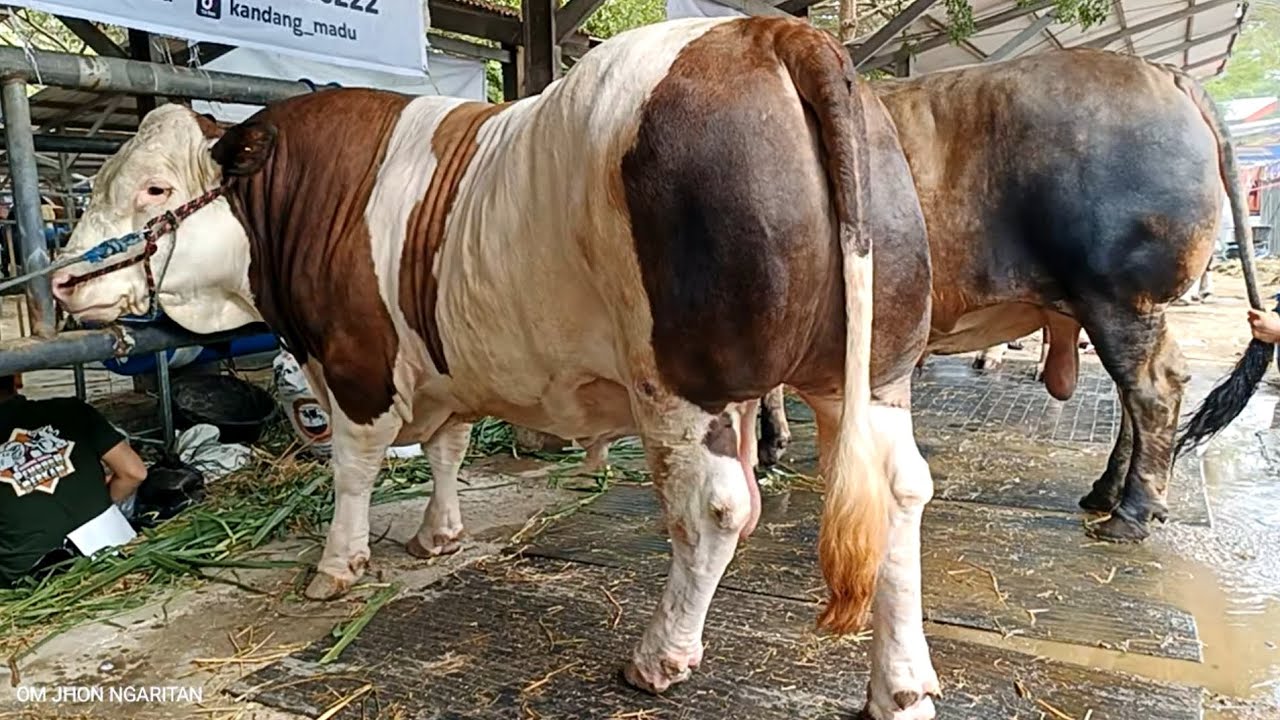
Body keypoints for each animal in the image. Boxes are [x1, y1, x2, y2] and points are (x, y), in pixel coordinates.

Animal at [53, 17, 939, 718]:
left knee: (716, 510)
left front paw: (336, 567)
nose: (60, 281)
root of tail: (769, 30)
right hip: (871, 375)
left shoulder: (356, 362)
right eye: (98, 180)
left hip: (691, 386)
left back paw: (660, 656)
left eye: (154, 188)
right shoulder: (445, 366)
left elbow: (354, 470)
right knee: (898, 496)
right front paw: (437, 536)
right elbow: (447, 446)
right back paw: (899, 690)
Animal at [756, 49, 1268, 542]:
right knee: (1132, 395)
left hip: (1117, 297)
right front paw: (772, 442)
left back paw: (1130, 514)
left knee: (1153, 387)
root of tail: (1164, 74)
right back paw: (1104, 492)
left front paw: (769, 445)